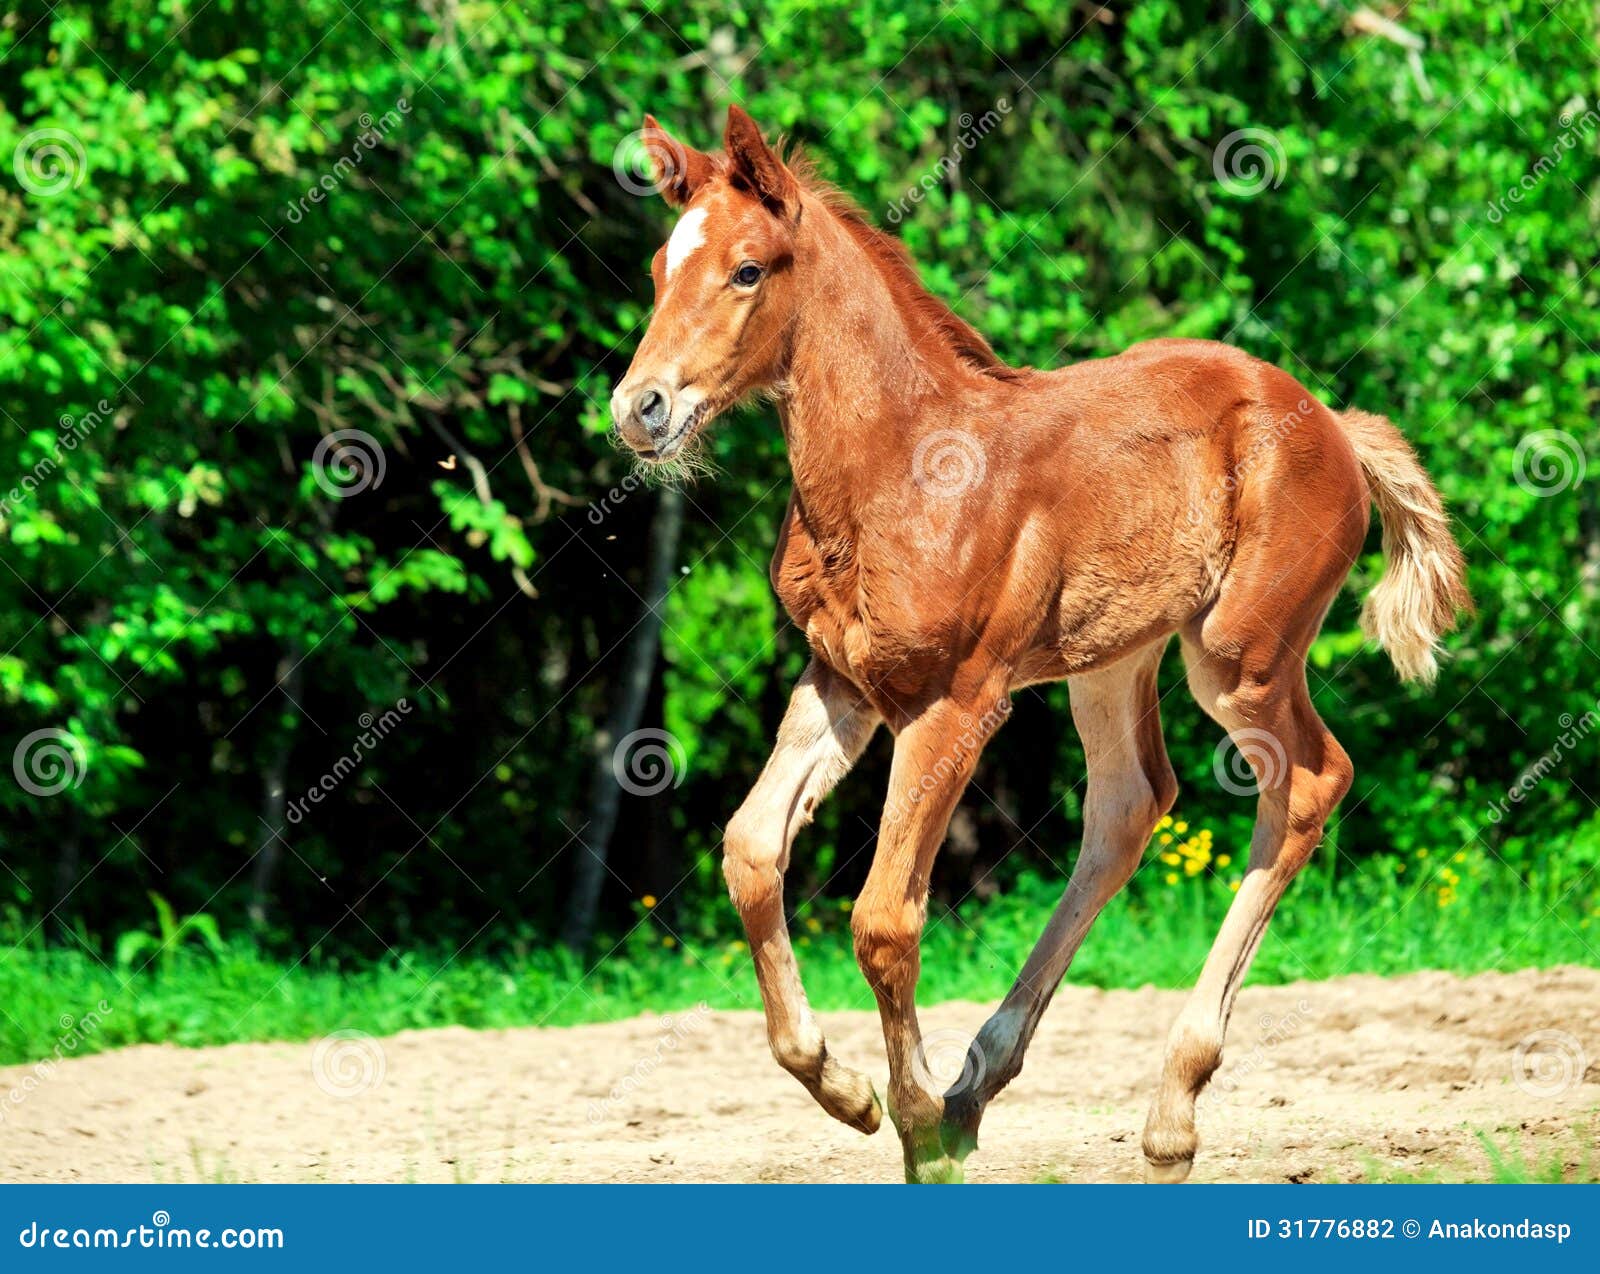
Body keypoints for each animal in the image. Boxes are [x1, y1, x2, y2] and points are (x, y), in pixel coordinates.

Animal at [608, 104, 1470, 1183]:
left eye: (748, 269)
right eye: (657, 267)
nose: (637, 409)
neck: (895, 467)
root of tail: (1336, 425)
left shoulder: (956, 705)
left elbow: (883, 917)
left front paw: (918, 1129)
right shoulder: (840, 681)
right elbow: (751, 850)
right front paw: (845, 1088)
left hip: (1240, 654)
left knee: (1310, 780)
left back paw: (1168, 1106)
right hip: (1113, 657)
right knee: (1130, 802)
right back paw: (984, 1077)